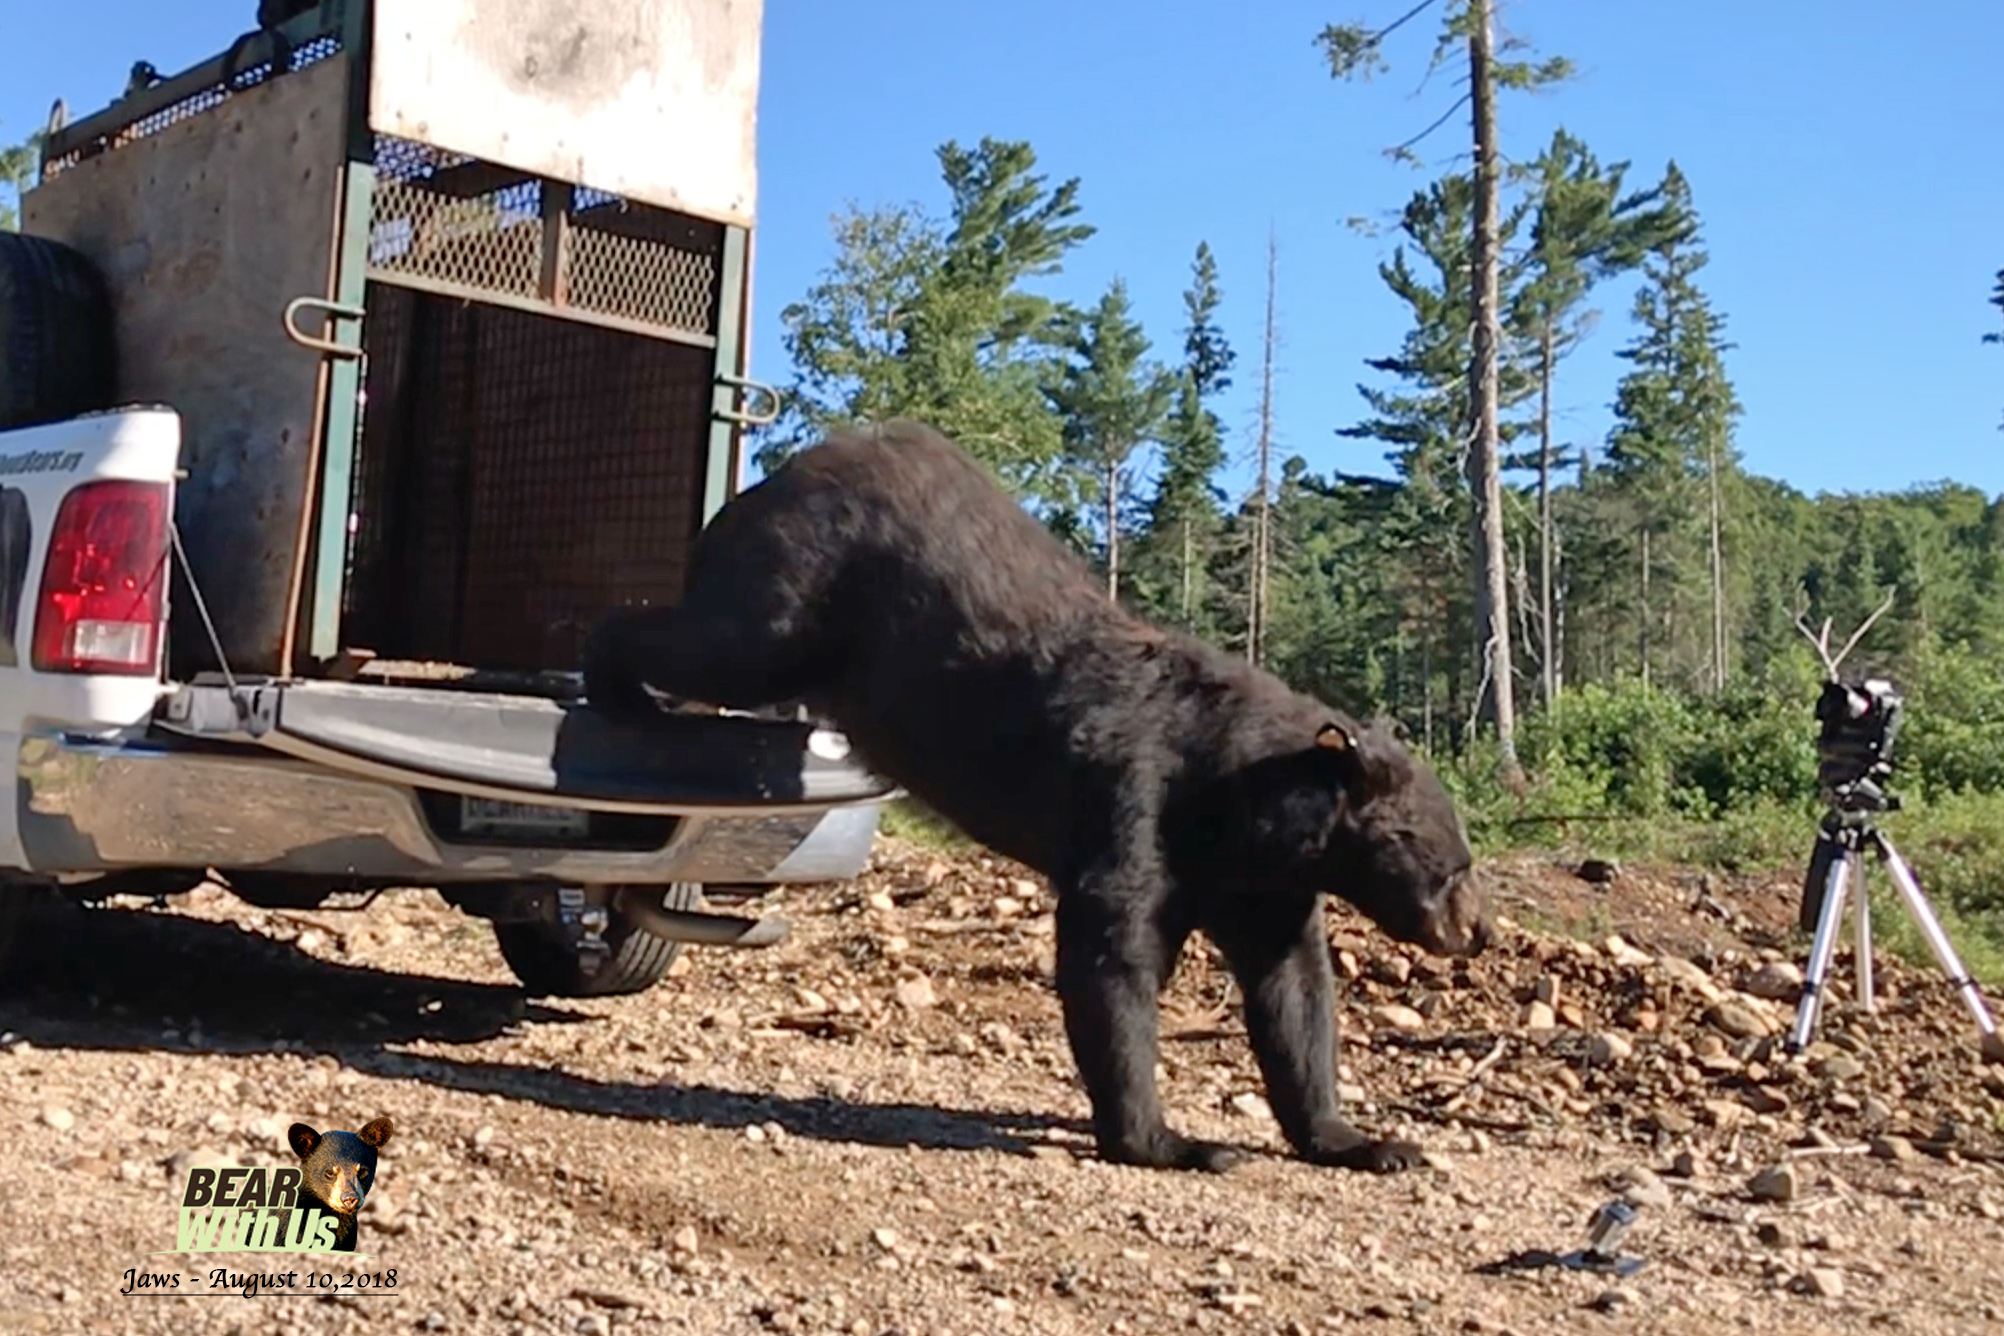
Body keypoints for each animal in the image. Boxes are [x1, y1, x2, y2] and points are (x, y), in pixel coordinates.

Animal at [584, 420, 1491, 1174]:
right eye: (1450, 863)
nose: (1474, 932)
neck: (1238, 808)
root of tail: (777, 473)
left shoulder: (1261, 882)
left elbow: (1294, 990)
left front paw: (1365, 1140)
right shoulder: (1138, 804)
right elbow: (1110, 955)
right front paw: (1173, 1140)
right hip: (802, 588)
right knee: (717, 640)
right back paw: (619, 684)